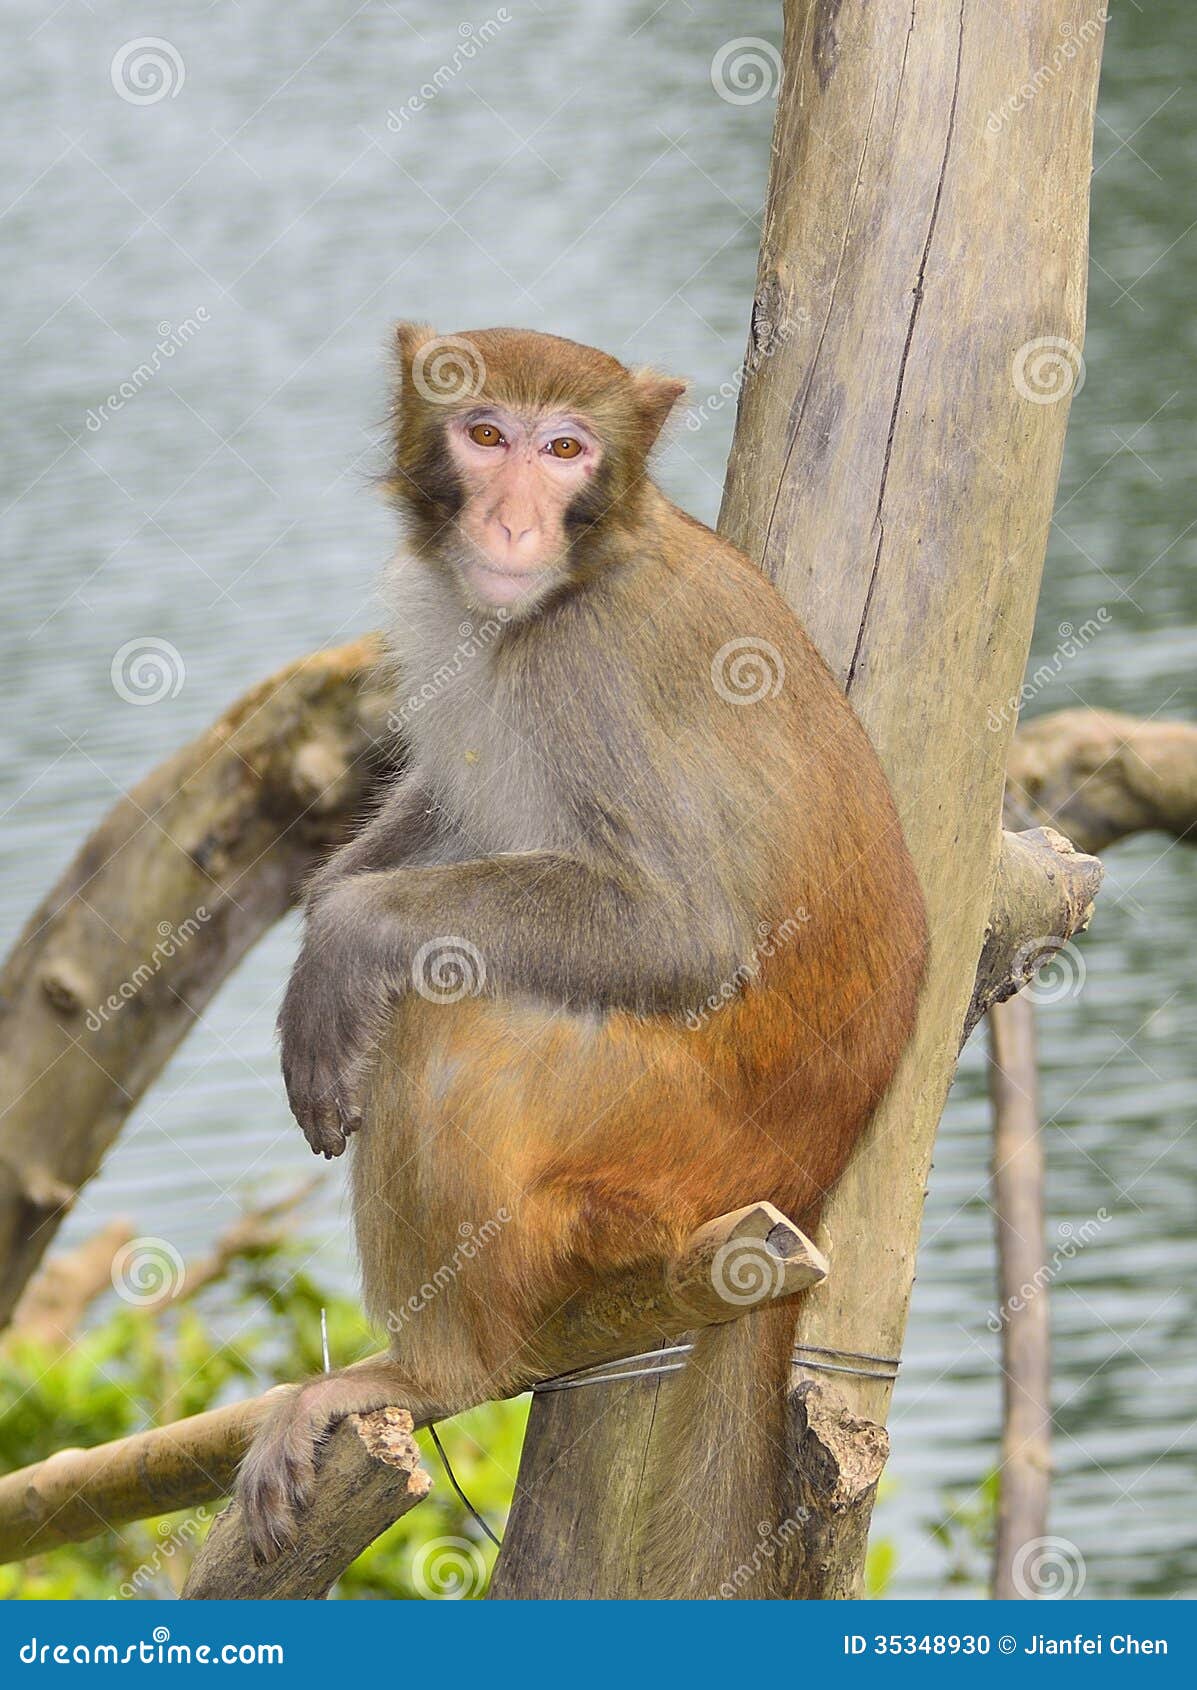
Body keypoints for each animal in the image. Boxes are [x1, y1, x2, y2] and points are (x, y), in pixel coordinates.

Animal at [237, 324, 928, 1596]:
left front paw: (340, 944)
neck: (575, 580)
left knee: (447, 1025)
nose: (512, 521)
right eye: (485, 433)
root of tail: (812, 1174)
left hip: (658, 1144)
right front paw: (321, 924)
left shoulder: (587, 670)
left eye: (564, 450)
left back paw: (428, 1372)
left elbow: (683, 928)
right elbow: (453, 813)